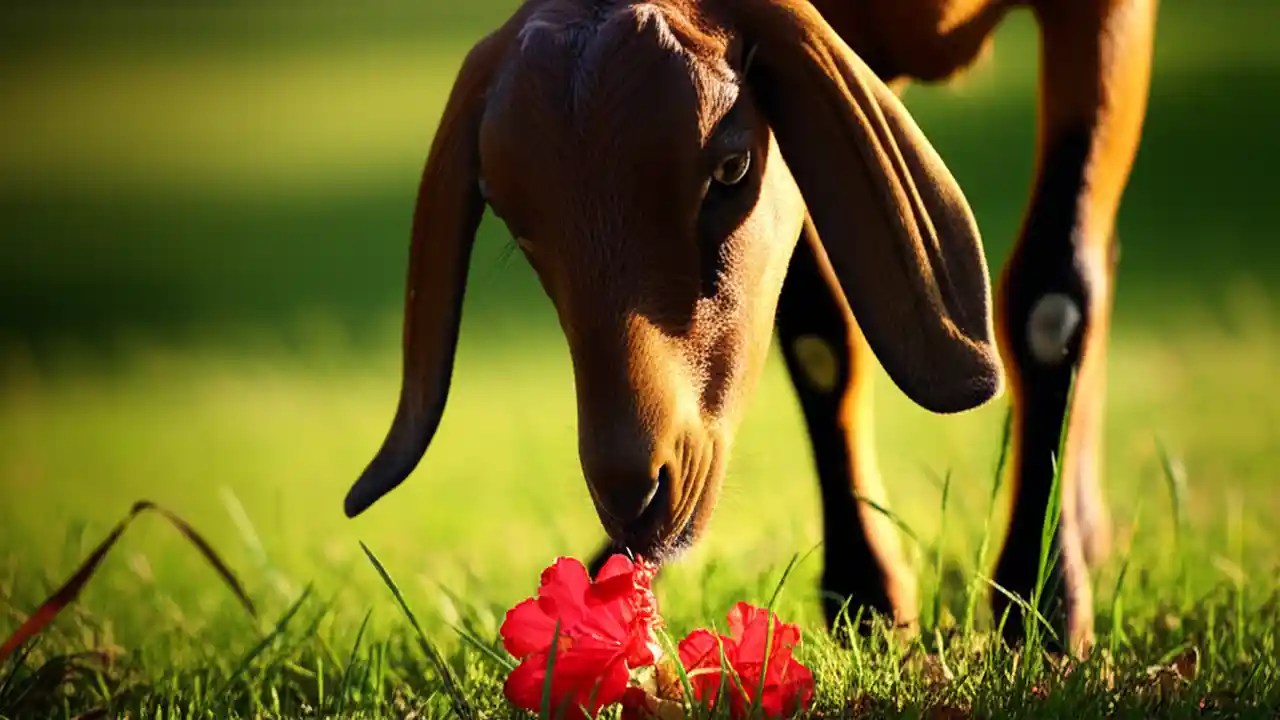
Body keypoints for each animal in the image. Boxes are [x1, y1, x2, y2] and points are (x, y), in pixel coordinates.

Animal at [344, 0, 1156, 654]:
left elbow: (1054, 295)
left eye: (730, 169)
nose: (632, 491)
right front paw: (865, 601)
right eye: (517, 225)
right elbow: (822, 336)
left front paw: (1041, 607)